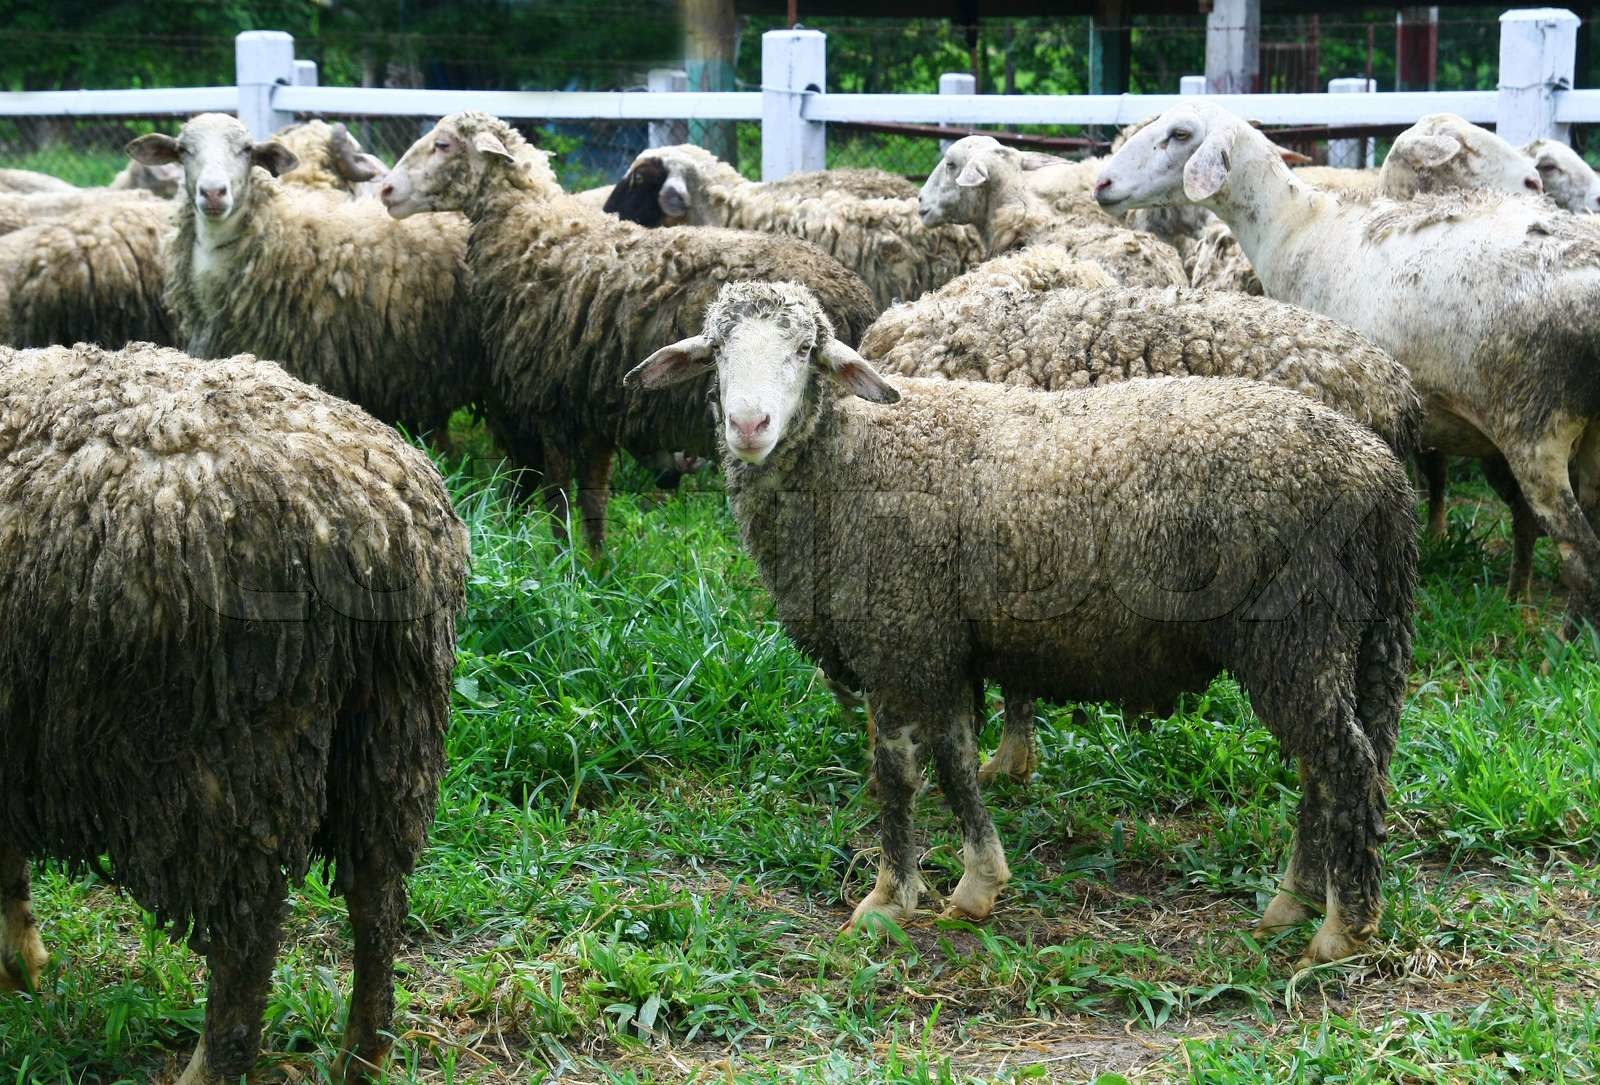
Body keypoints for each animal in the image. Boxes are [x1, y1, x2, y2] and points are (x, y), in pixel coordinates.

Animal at [0, 341, 468, 1084]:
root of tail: (366, 526)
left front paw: (16, 962)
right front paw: (21, 964)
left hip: (223, 761)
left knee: (246, 945)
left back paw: (214, 1065)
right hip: (392, 731)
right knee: (379, 897)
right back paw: (362, 1054)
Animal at [379, 111, 878, 553]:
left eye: (443, 144)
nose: (385, 191)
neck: (532, 231)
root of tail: (858, 295)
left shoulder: (549, 405)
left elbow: (557, 497)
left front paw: (561, 558)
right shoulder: (593, 408)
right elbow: (593, 498)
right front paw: (597, 563)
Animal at [1097, 101, 1600, 624]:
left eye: (1179, 134)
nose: (1101, 184)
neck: (1295, 225)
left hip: (1534, 427)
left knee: (1580, 551)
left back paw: (1563, 634)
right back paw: (1521, 604)